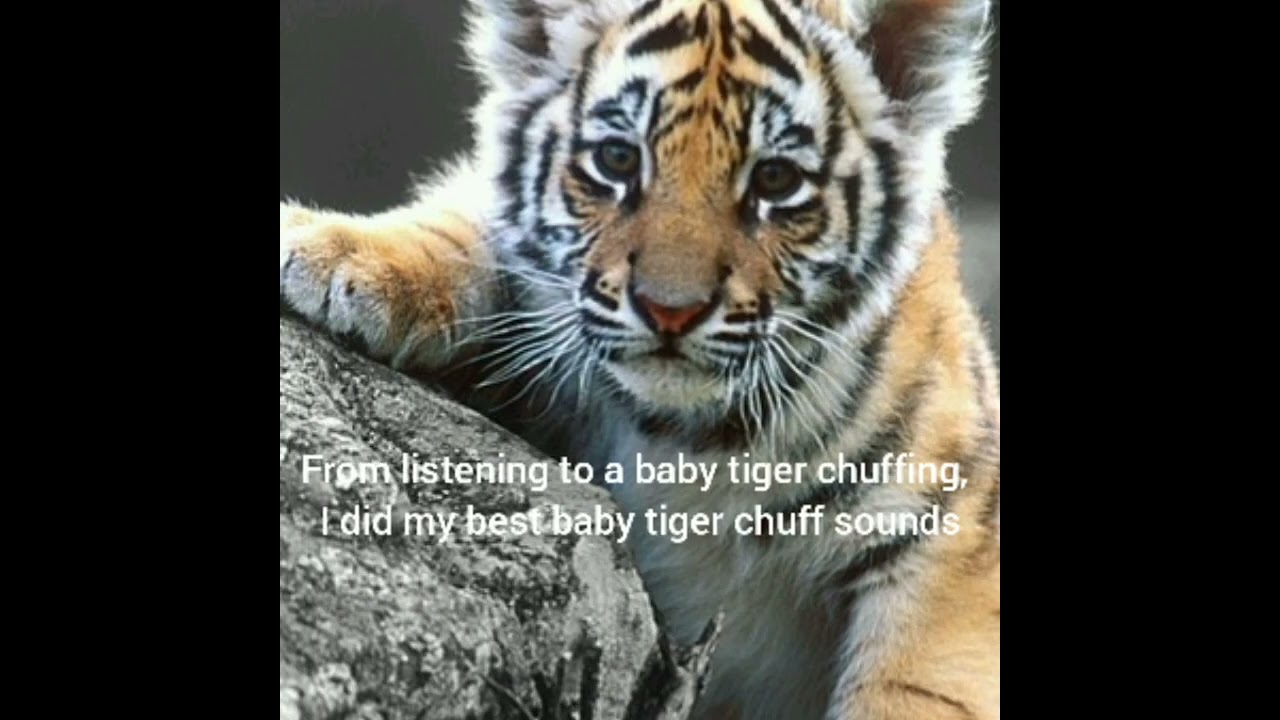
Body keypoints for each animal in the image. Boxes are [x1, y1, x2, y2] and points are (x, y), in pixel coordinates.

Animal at [279, 1, 1000, 718]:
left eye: (775, 178)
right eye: (618, 159)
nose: (670, 310)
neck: (690, 438)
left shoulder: (949, 544)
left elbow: (915, 687)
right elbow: (469, 231)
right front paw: (330, 250)